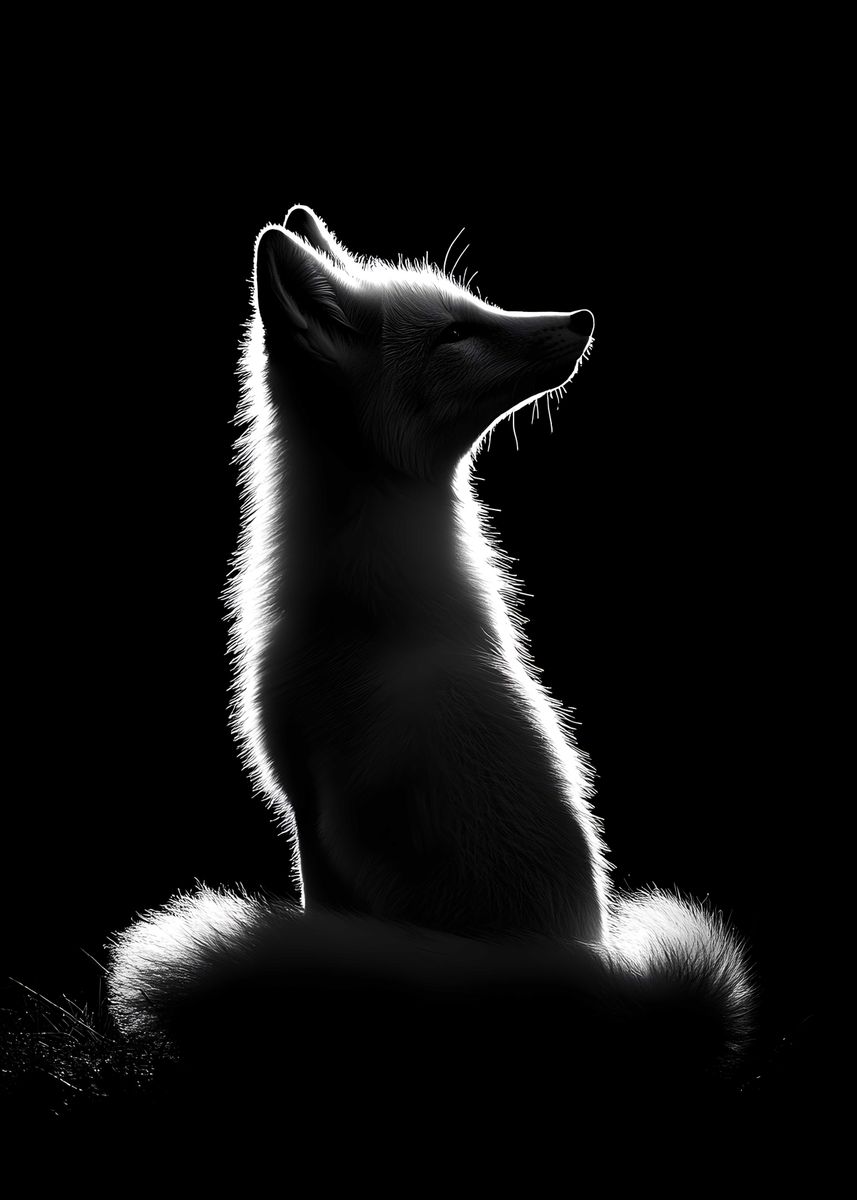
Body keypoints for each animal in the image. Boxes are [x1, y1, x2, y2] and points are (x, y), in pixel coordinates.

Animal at [107, 205, 754, 1102]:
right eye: (456, 333)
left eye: (471, 309)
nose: (581, 318)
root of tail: (574, 972)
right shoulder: (301, 803)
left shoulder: (307, 802)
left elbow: (313, 921)